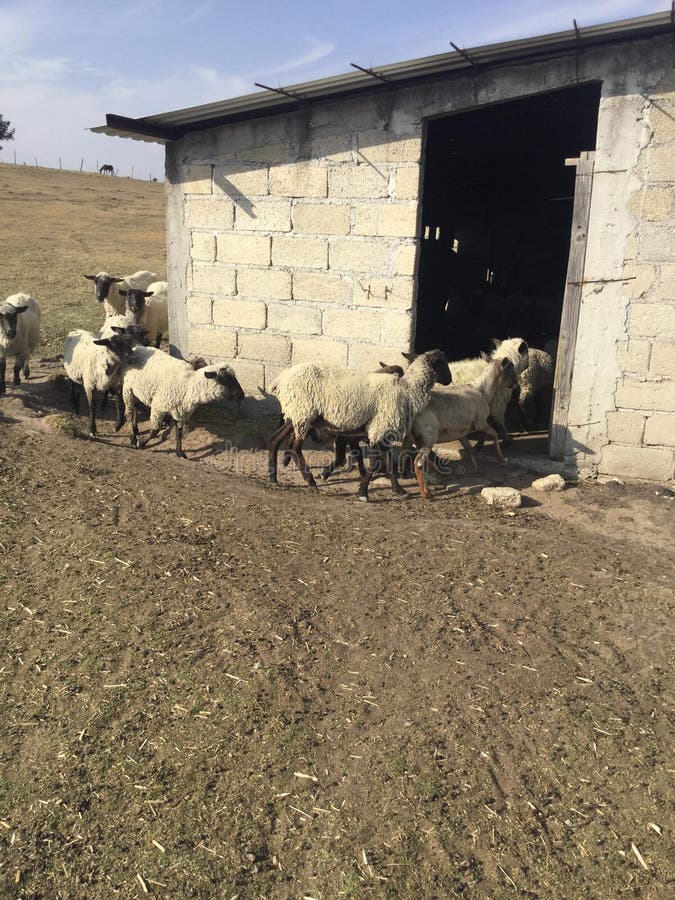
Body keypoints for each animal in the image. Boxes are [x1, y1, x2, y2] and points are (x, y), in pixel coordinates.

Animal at [267, 349, 452, 501]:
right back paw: (310, 481)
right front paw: (363, 492)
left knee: (275, 439)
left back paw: (273, 477)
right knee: (294, 446)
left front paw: (399, 490)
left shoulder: (382, 430)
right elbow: (375, 462)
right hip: (304, 412)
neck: (407, 391)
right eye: (442, 362)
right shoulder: (379, 428)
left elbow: (389, 462)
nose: (450, 380)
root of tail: (281, 378)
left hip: (297, 413)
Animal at [410, 354, 519, 500]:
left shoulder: (462, 433)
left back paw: (434, 480)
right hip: (428, 436)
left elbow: (470, 450)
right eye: (510, 369)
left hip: (419, 439)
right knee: (418, 462)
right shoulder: (481, 422)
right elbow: (495, 434)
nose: (515, 384)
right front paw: (501, 459)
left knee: (425, 460)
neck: (483, 391)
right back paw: (426, 493)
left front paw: (479, 469)